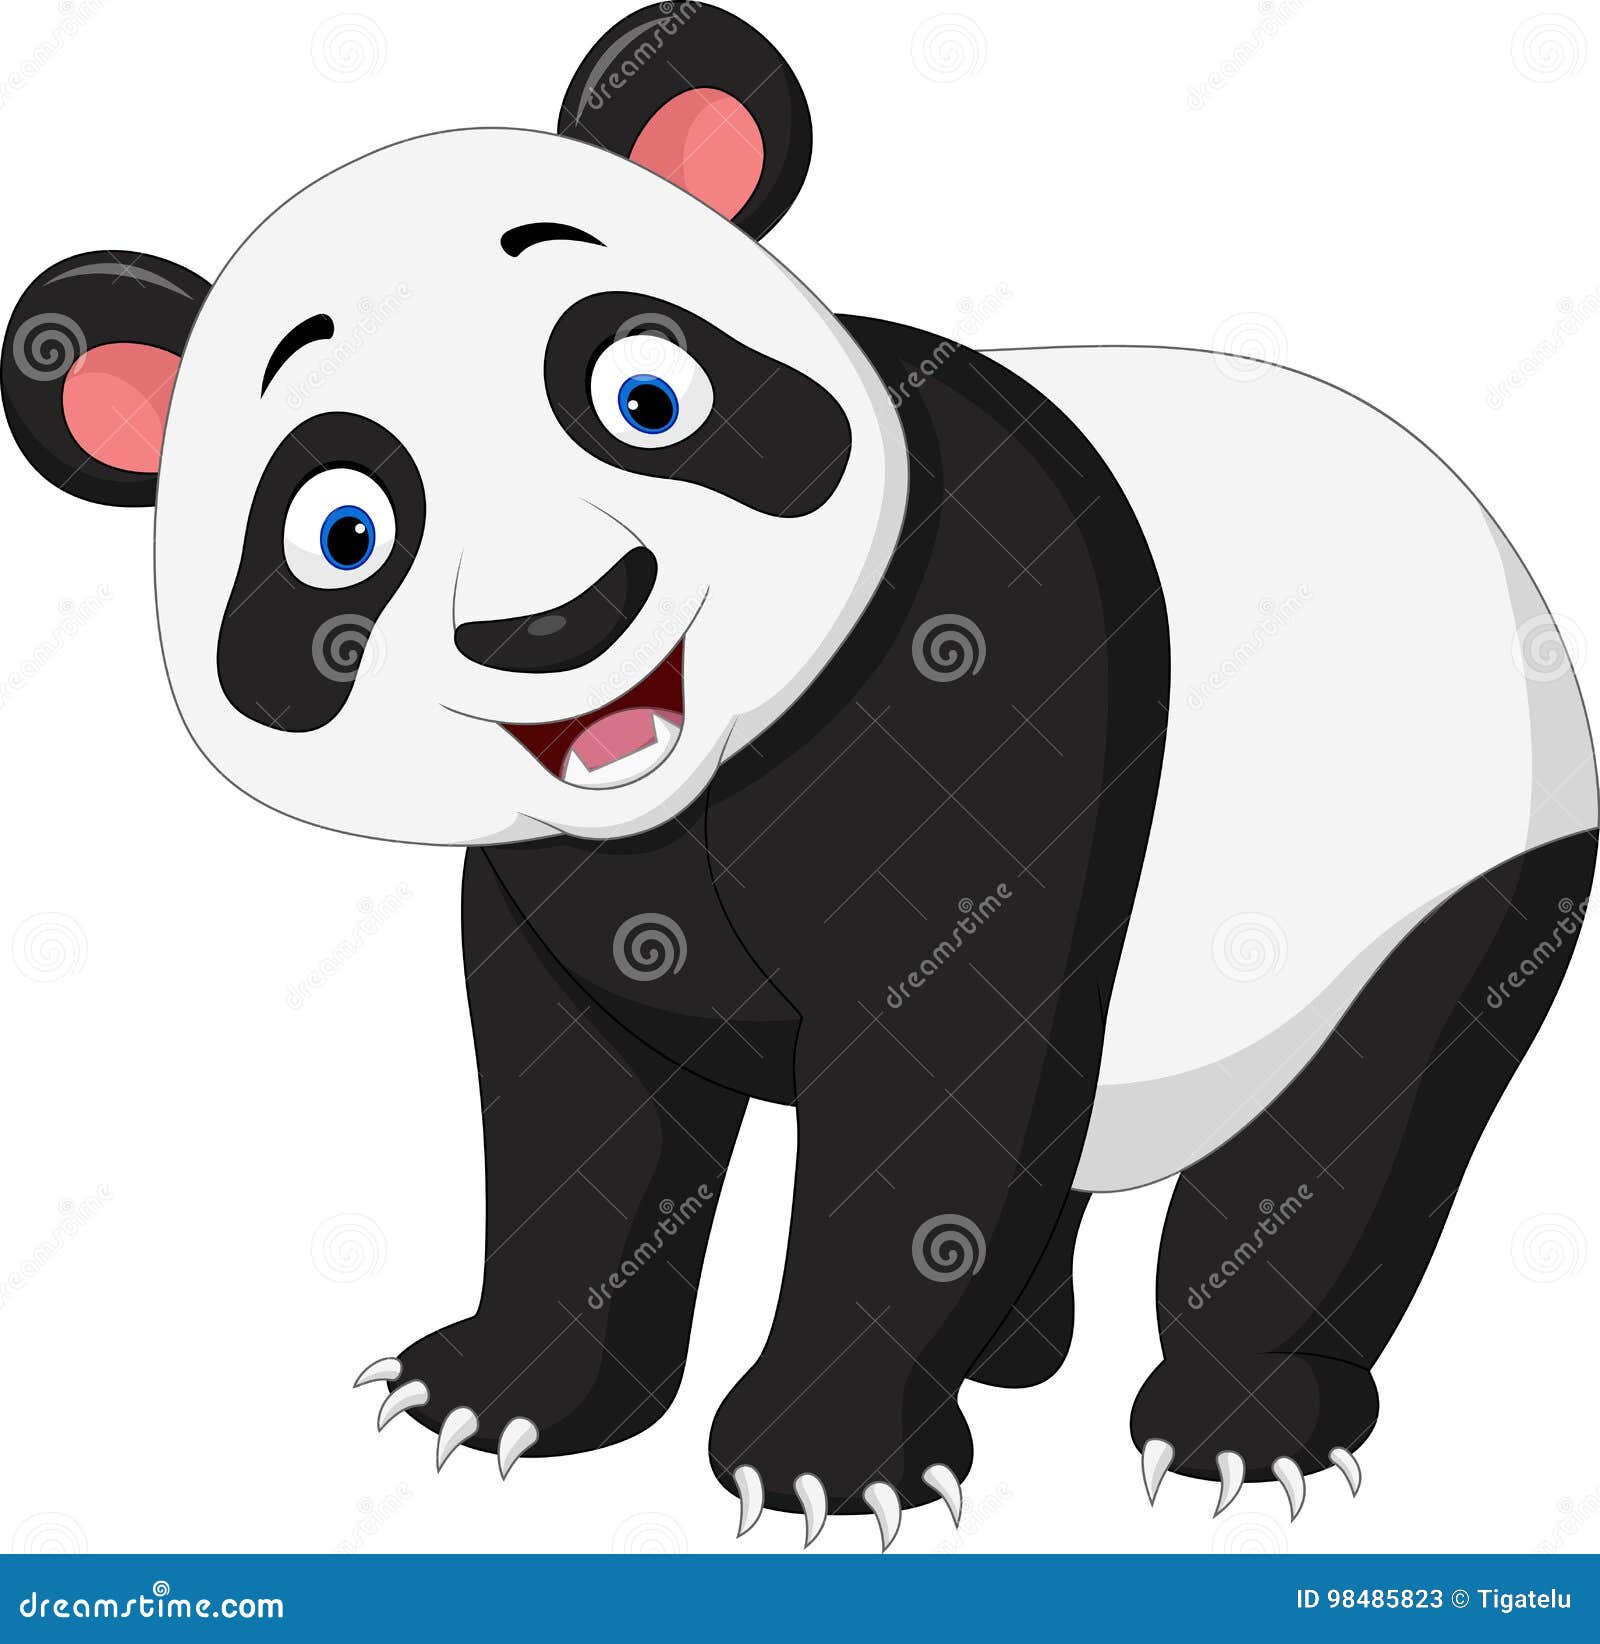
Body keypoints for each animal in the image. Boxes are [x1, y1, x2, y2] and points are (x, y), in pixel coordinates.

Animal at [4, 3, 1594, 1551]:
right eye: (343, 531)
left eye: (644, 394)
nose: (561, 618)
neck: (699, 774)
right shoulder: (552, 871)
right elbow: (582, 1109)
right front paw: (495, 1392)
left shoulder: (988, 684)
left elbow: (933, 1083)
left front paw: (822, 1461)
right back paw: (1023, 1351)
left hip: (1448, 867)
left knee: (1345, 1137)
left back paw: (1239, 1427)